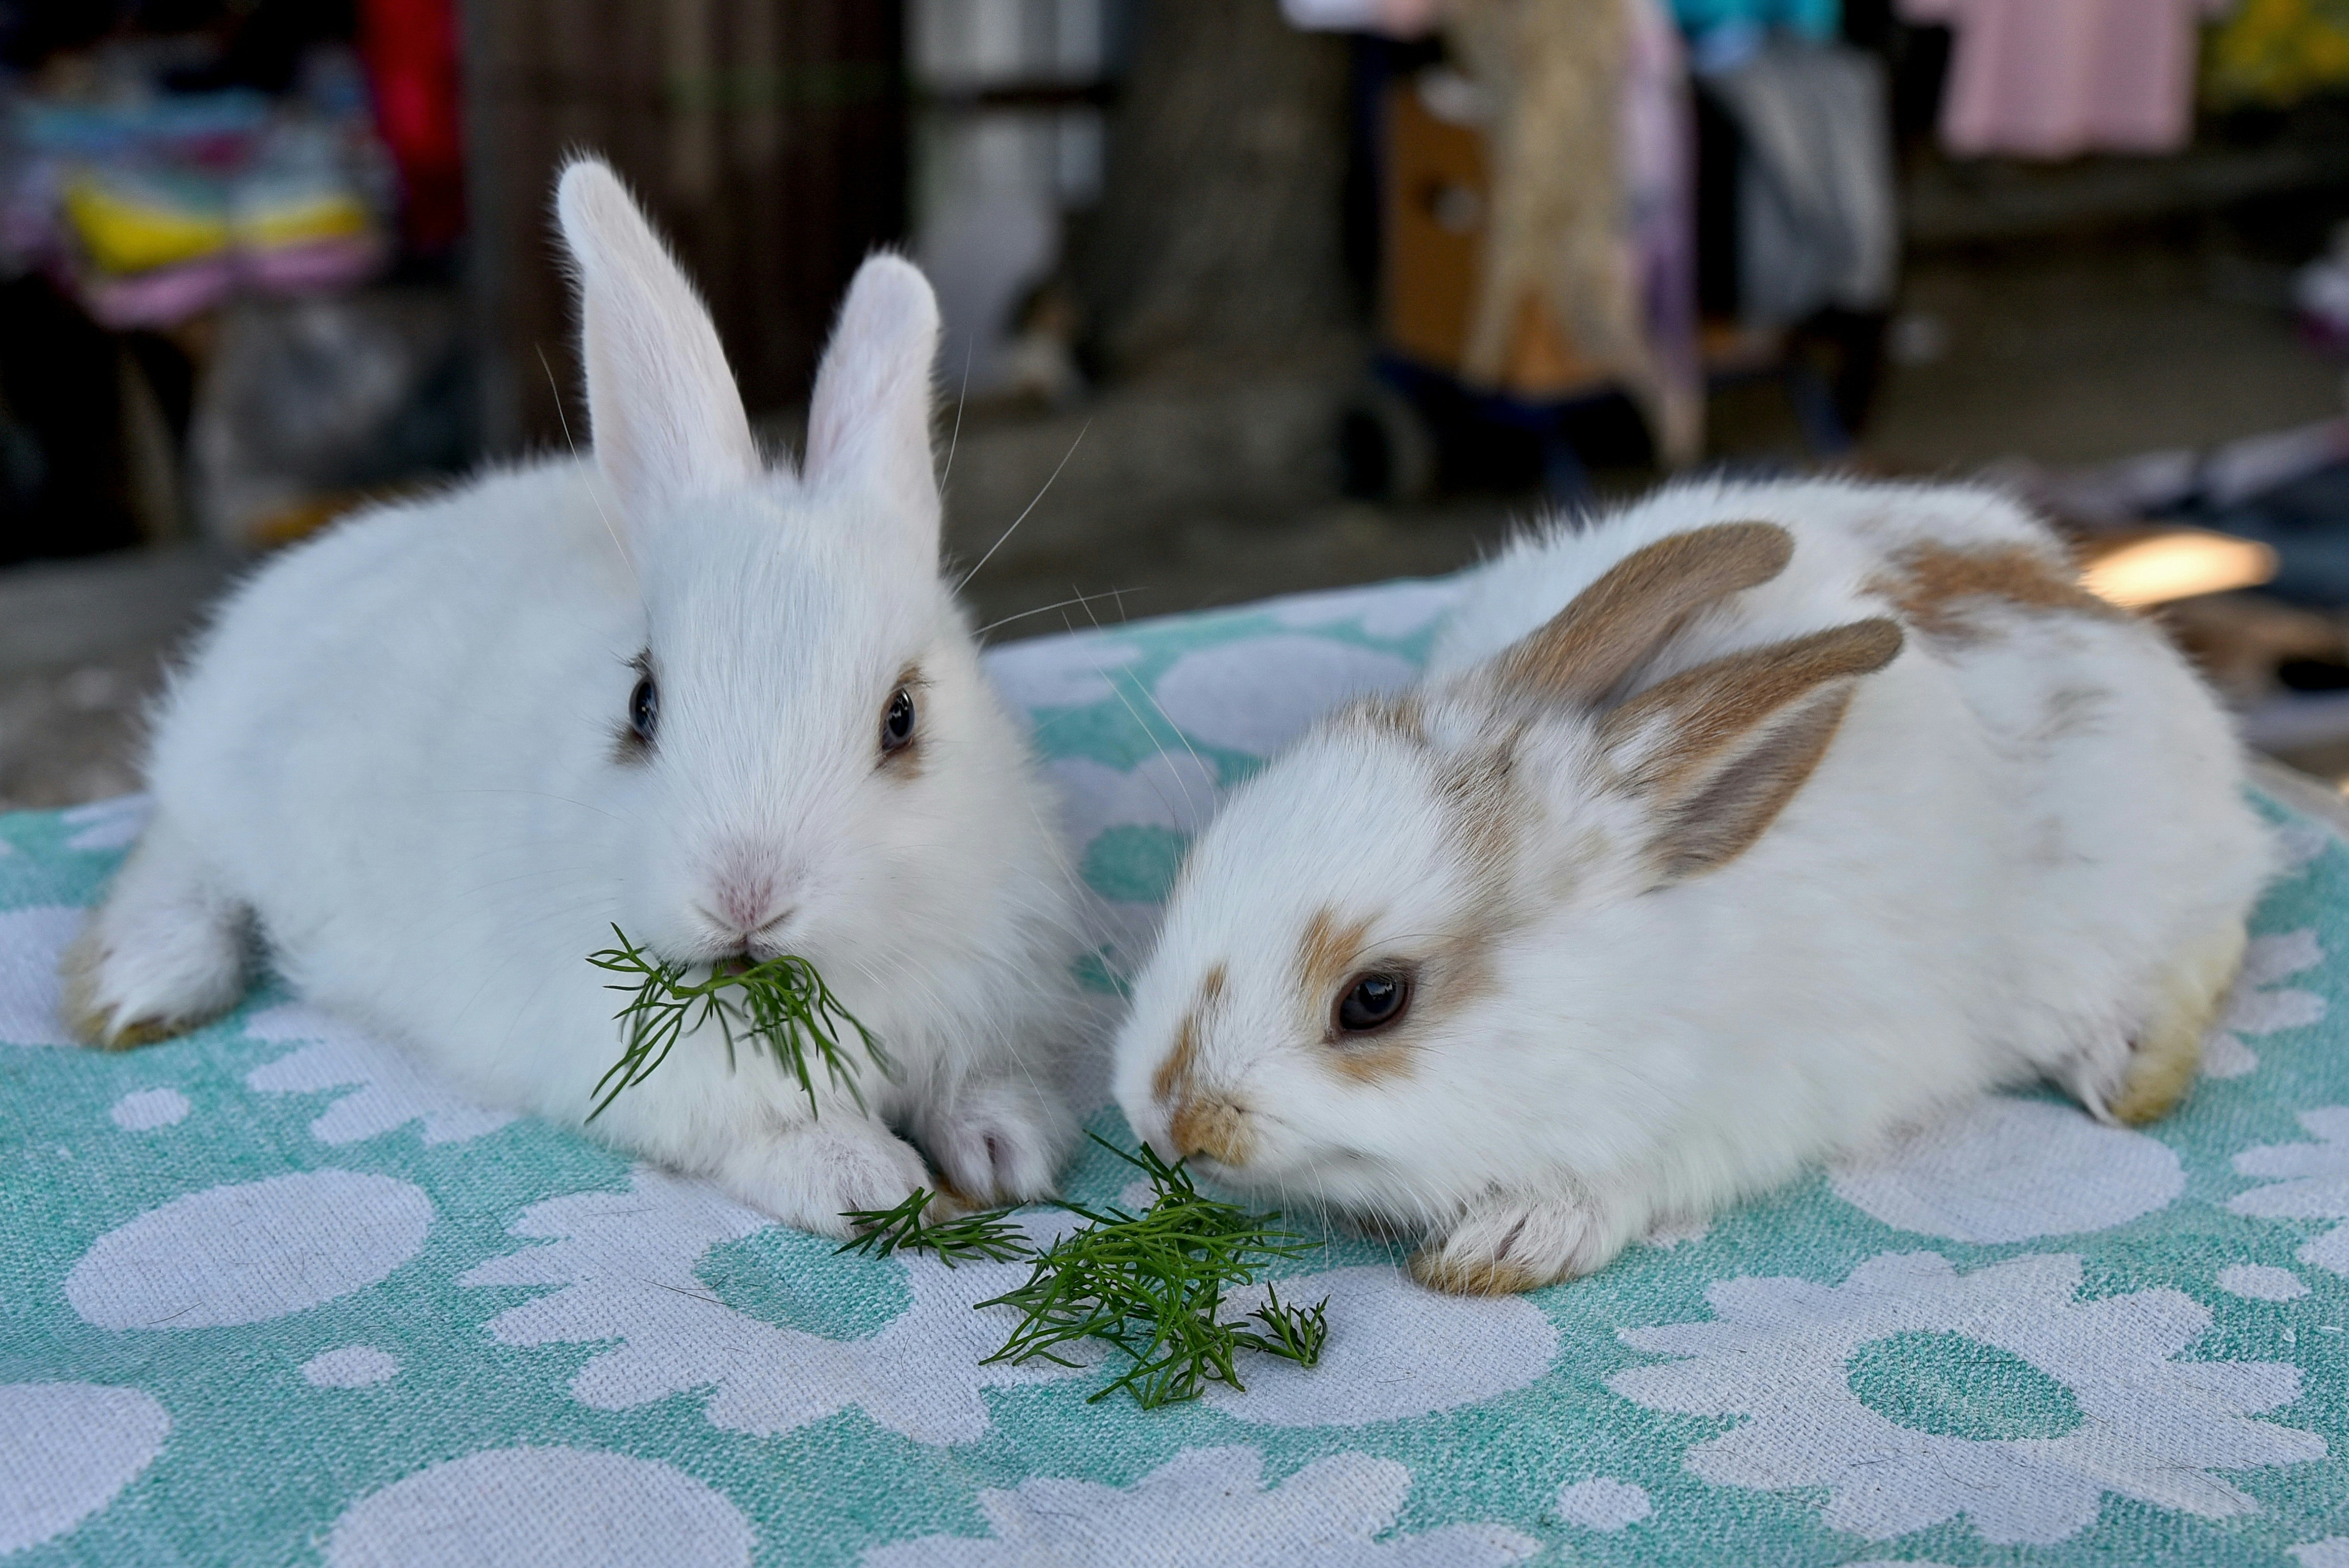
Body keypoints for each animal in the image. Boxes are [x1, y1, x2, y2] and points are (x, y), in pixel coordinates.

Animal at [61, 159, 1084, 1234]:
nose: (746, 898)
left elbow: (984, 1077)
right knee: (180, 854)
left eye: (903, 717)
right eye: (642, 704)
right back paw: (138, 986)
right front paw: (868, 1180)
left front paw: (1008, 1150)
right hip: (232, 785)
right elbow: (765, 1128)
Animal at [1112, 478, 2272, 1294]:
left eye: (1373, 999)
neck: (1633, 983)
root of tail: (2097, 606)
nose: (1173, 1123)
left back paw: (2128, 1065)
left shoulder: (1750, 1106)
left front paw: (1510, 1240)